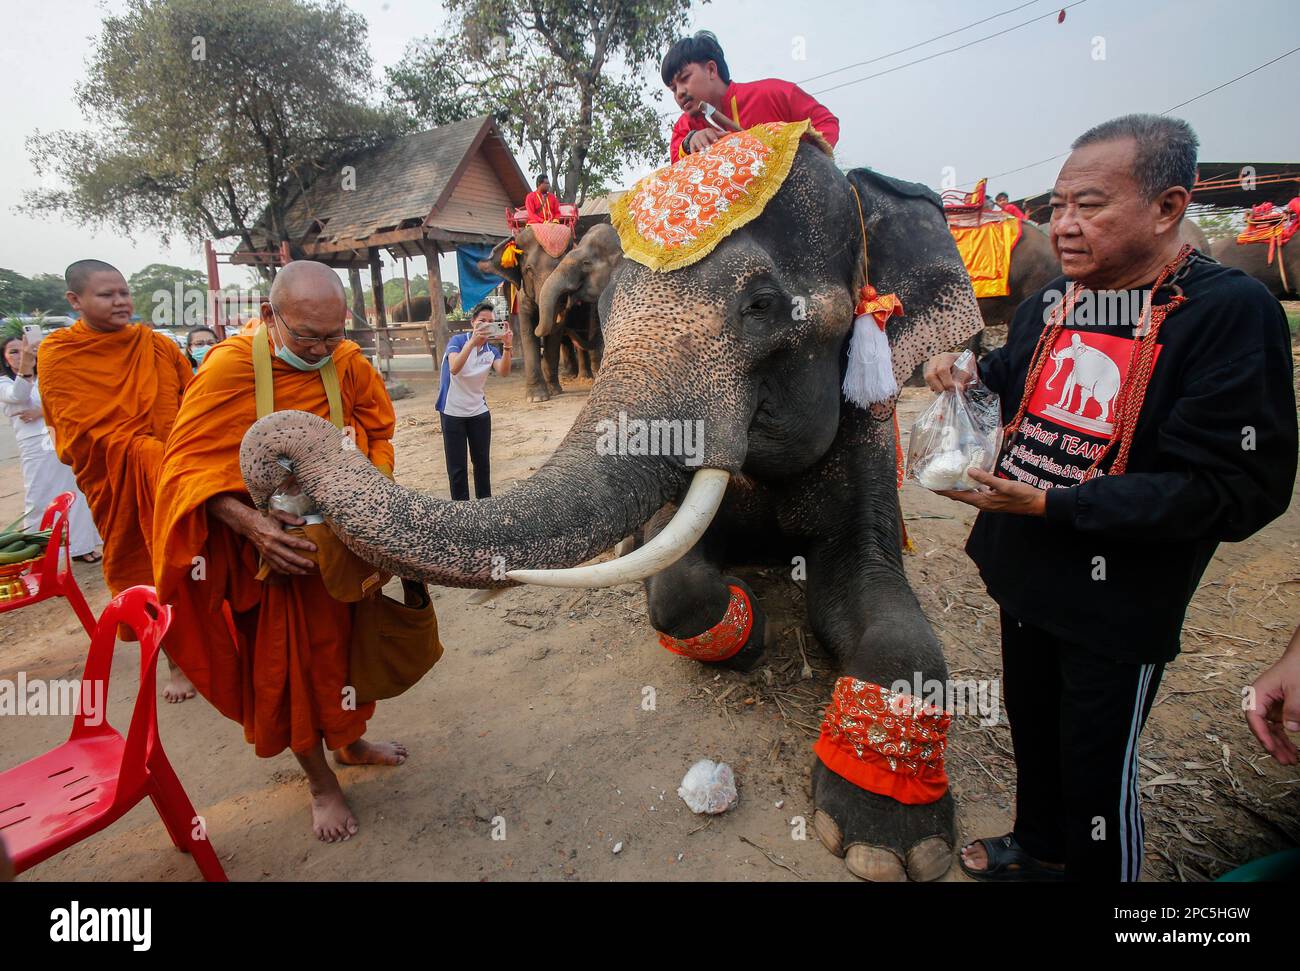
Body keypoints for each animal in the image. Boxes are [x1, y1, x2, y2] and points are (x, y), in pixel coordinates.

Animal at [479, 223, 577, 402]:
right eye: (529, 269)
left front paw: (554, 391)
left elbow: (554, 334)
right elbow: (528, 332)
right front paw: (536, 398)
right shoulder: (521, 296)